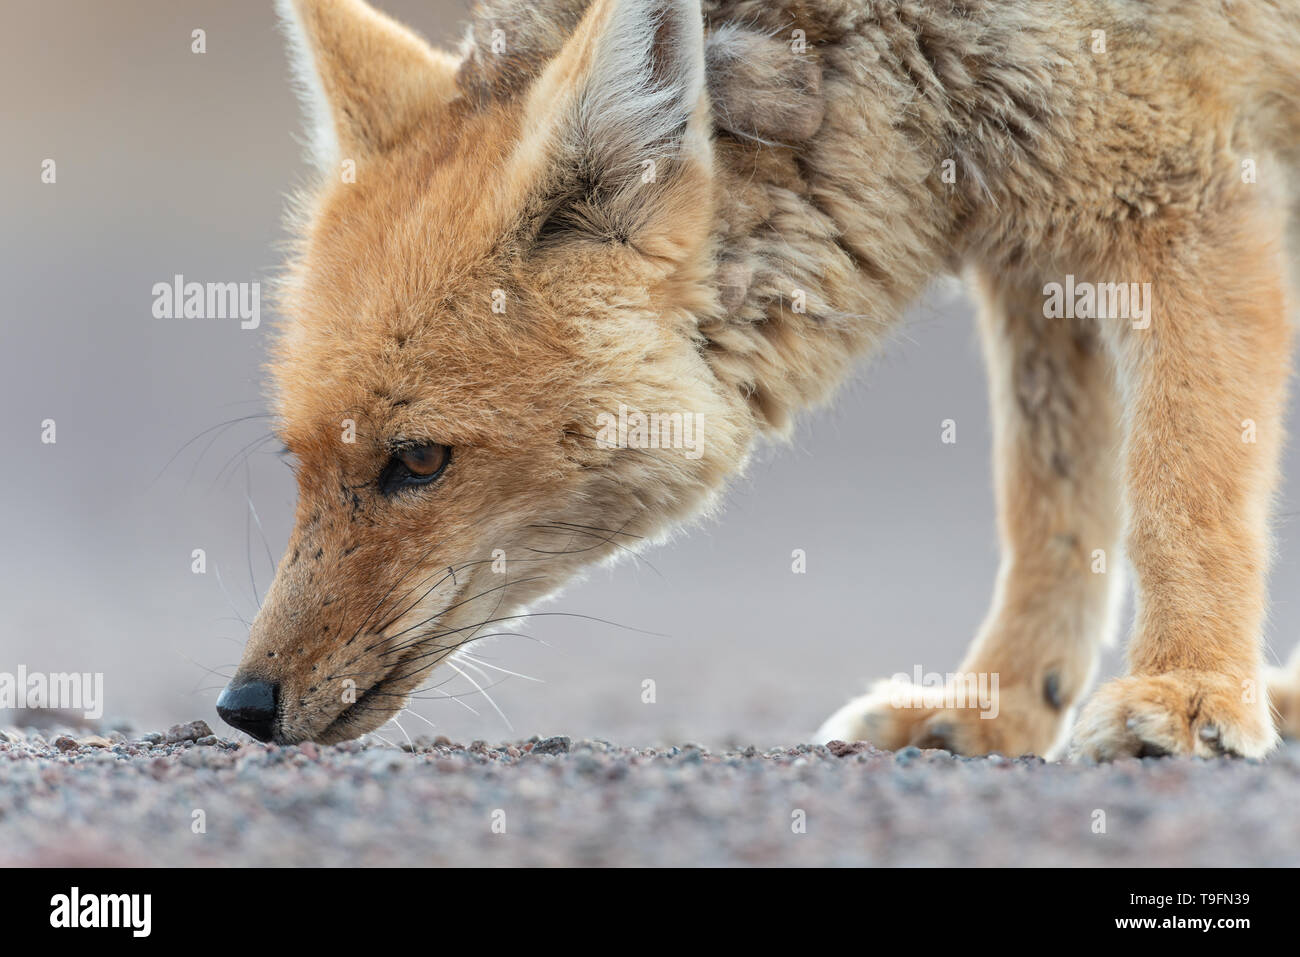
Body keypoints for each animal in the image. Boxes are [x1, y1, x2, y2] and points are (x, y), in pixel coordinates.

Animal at [215, 0, 1300, 761]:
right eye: (298, 463)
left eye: (418, 461)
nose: (243, 705)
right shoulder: (1032, 257)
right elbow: (1053, 511)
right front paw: (1000, 706)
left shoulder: (1186, 190)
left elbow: (1181, 485)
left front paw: (1188, 692)